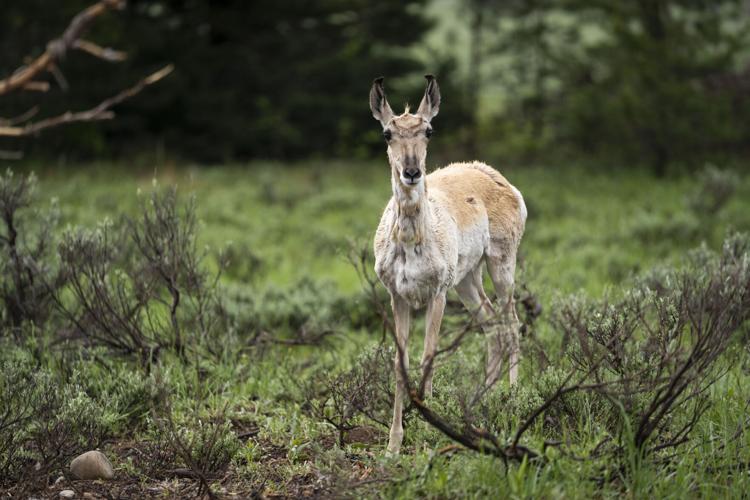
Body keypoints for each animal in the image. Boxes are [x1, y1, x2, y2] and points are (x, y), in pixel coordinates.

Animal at [370, 75, 527, 455]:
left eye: (429, 130)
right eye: (387, 133)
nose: (411, 172)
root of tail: (493, 174)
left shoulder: (437, 294)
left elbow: (428, 355)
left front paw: (429, 426)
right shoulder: (398, 297)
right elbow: (400, 363)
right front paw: (393, 444)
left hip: (501, 266)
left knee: (511, 322)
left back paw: (514, 395)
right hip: (467, 279)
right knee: (490, 323)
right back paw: (482, 399)